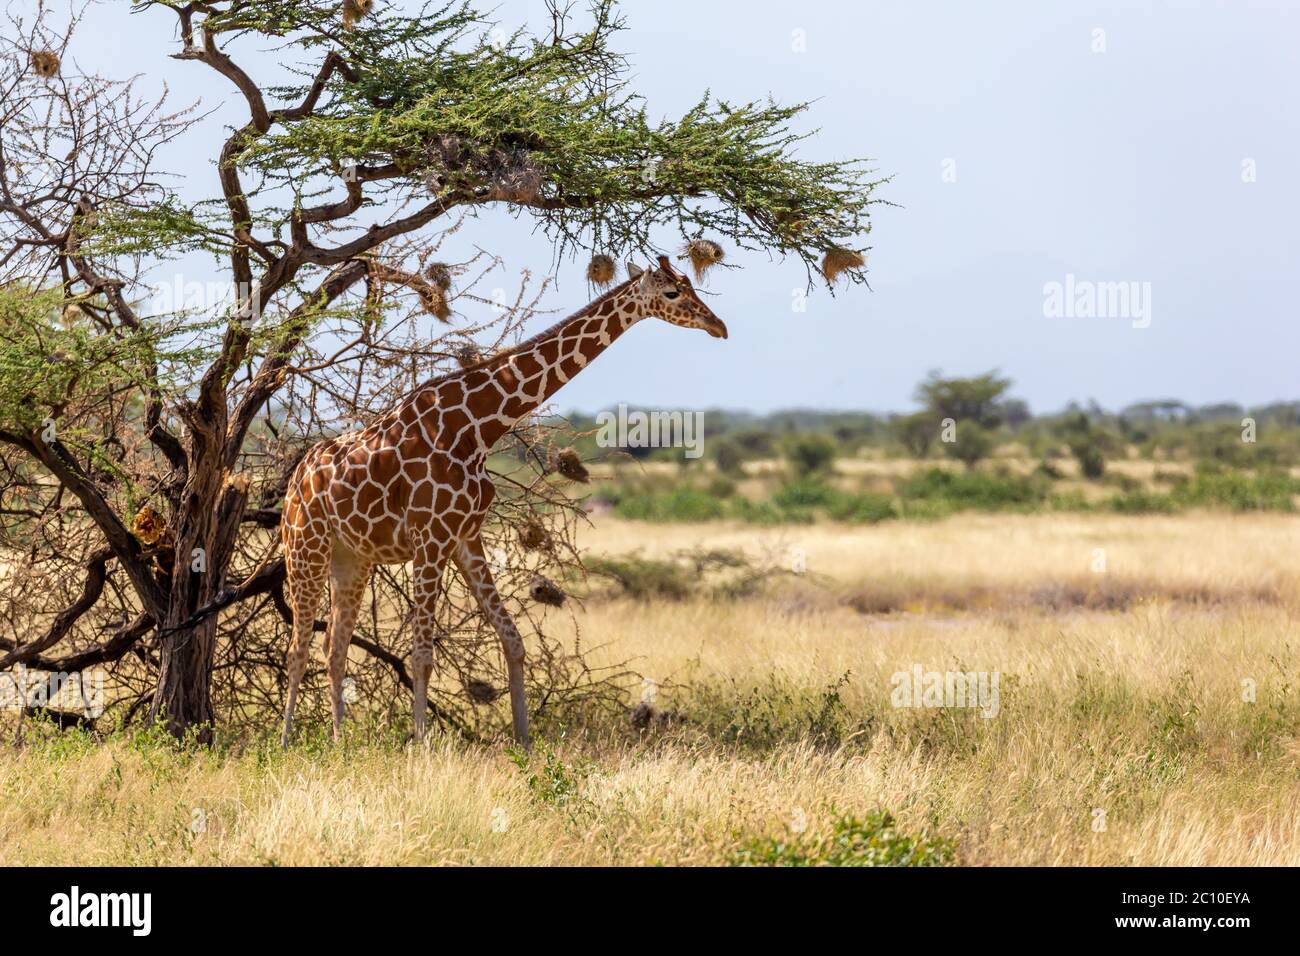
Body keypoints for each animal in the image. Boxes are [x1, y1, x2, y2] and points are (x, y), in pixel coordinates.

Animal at [280, 255, 729, 748]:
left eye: (691, 285)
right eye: (672, 293)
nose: (719, 326)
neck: (477, 427)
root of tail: (295, 478)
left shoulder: (465, 536)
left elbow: (512, 639)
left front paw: (524, 739)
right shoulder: (430, 538)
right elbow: (421, 653)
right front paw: (421, 744)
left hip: (352, 559)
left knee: (333, 645)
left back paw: (339, 739)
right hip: (305, 547)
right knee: (299, 644)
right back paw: (287, 742)